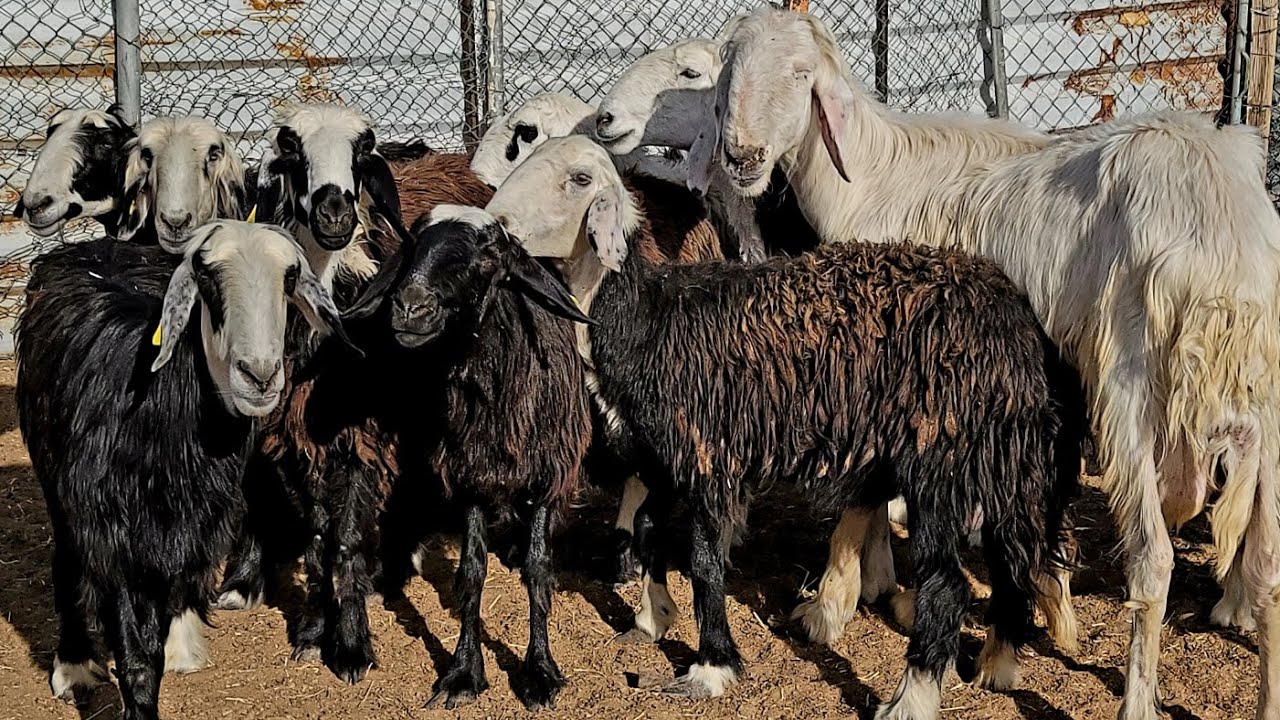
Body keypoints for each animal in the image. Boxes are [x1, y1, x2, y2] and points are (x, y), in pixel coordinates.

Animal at [15, 220, 350, 720]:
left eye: (290, 277)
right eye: (207, 278)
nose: (259, 376)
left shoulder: (198, 513)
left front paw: (178, 638)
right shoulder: (114, 530)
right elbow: (137, 657)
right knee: (69, 559)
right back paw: (74, 662)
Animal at [486, 135, 1084, 717]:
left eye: (579, 178)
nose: (496, 225)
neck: (647, 316)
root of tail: (1015, 316)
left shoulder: (709, 455)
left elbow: (704, 561)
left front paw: (711, 666)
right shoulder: (663, 452)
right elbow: (648, 529)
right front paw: (652, 619)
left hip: (942, 455)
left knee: (948, 585)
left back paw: (910, 699)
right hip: (1001, 456)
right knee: (1010, 555)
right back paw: (997, 663)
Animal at [704, 8, 1280, 719]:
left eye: (799, 72)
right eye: (731, 71)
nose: (742, 158)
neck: (871, 177)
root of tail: (1221, 236)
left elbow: (863, 499)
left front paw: (831, 606)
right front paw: (883, 583)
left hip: (1129, 389)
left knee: (1152, 561)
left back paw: (1136, 700)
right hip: (1263, 397)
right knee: (1268, 563)